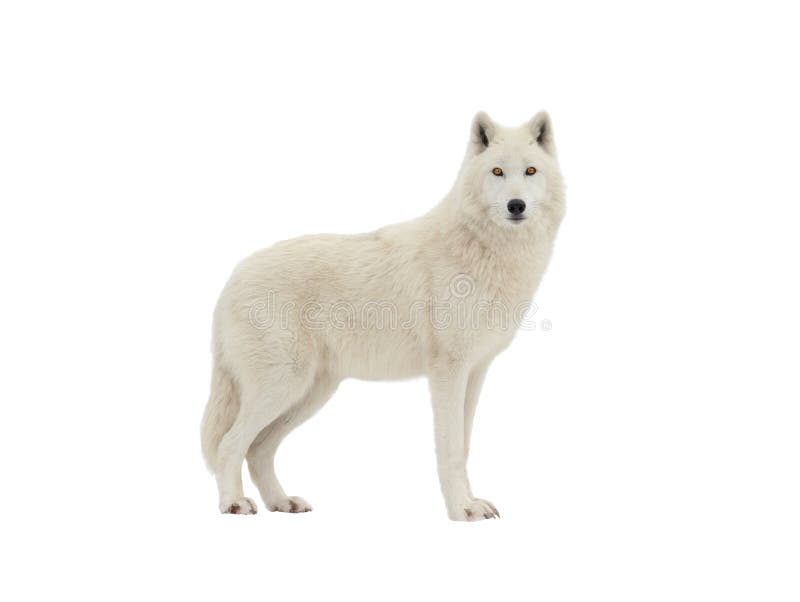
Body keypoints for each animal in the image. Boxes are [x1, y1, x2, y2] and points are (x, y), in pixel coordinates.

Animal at [200, 111, 565, 521]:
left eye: (531, 170)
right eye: (497, 171)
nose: (516, 205)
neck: (486, 250)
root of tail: (232, 278)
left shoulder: (475, 372)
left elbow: (464, 445)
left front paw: (470, 502)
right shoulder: (448, 374)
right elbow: (450, 449)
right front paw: (461, 510)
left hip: (309, 394)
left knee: (258, 449)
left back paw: (282, 502)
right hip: (284, 386)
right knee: (230, 444)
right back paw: (234, 503)